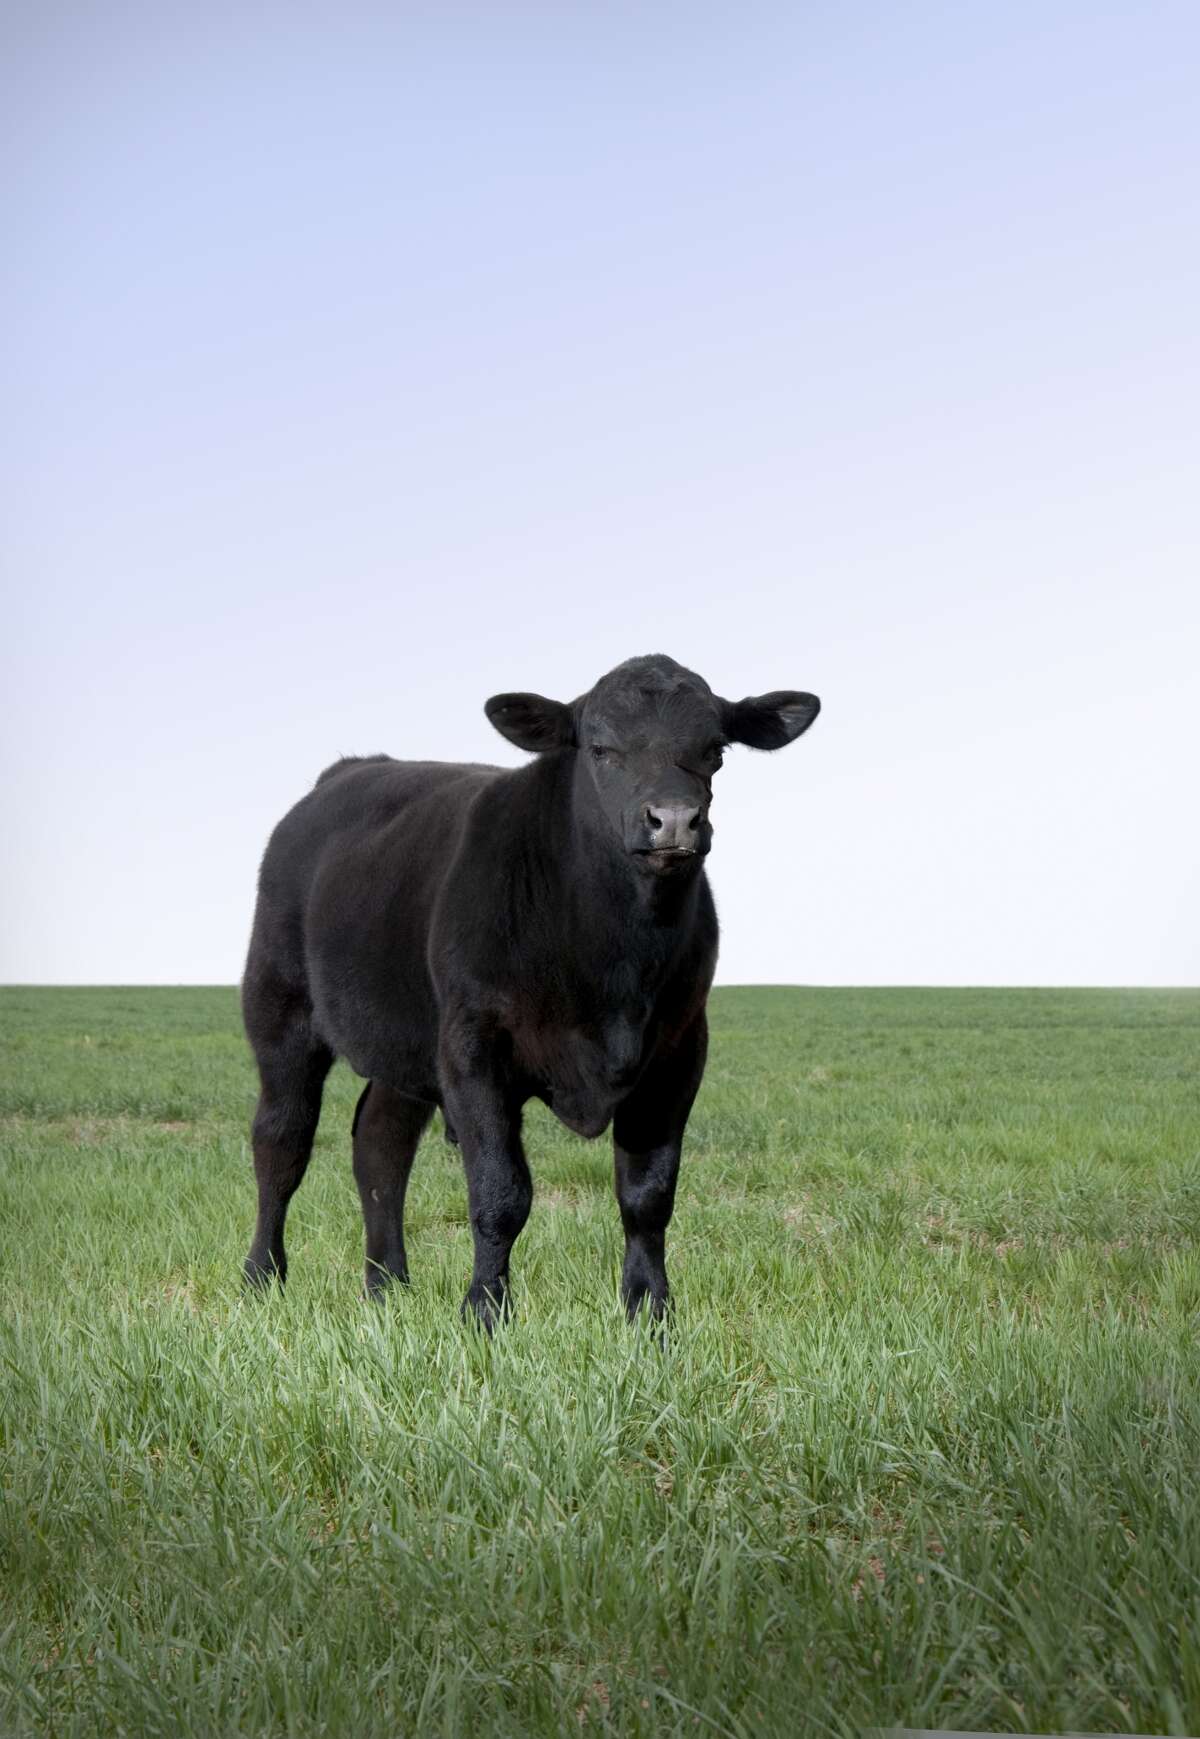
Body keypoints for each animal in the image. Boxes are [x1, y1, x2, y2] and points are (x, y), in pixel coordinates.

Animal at [241, 653, 820, 1327]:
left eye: (714, 750)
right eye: (600, 747)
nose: (673, 820)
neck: (616, 963)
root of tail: (349, 769)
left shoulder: (679, 1052)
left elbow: (648, 1196)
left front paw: (650, 1313)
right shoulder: (474, 1046)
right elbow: (501, 1193)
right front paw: (485, 1313)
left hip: (406, 1042)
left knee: (381, 1145)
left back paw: (387, 1286)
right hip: (280, 1006)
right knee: (282, 1140)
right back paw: (263, 1276)